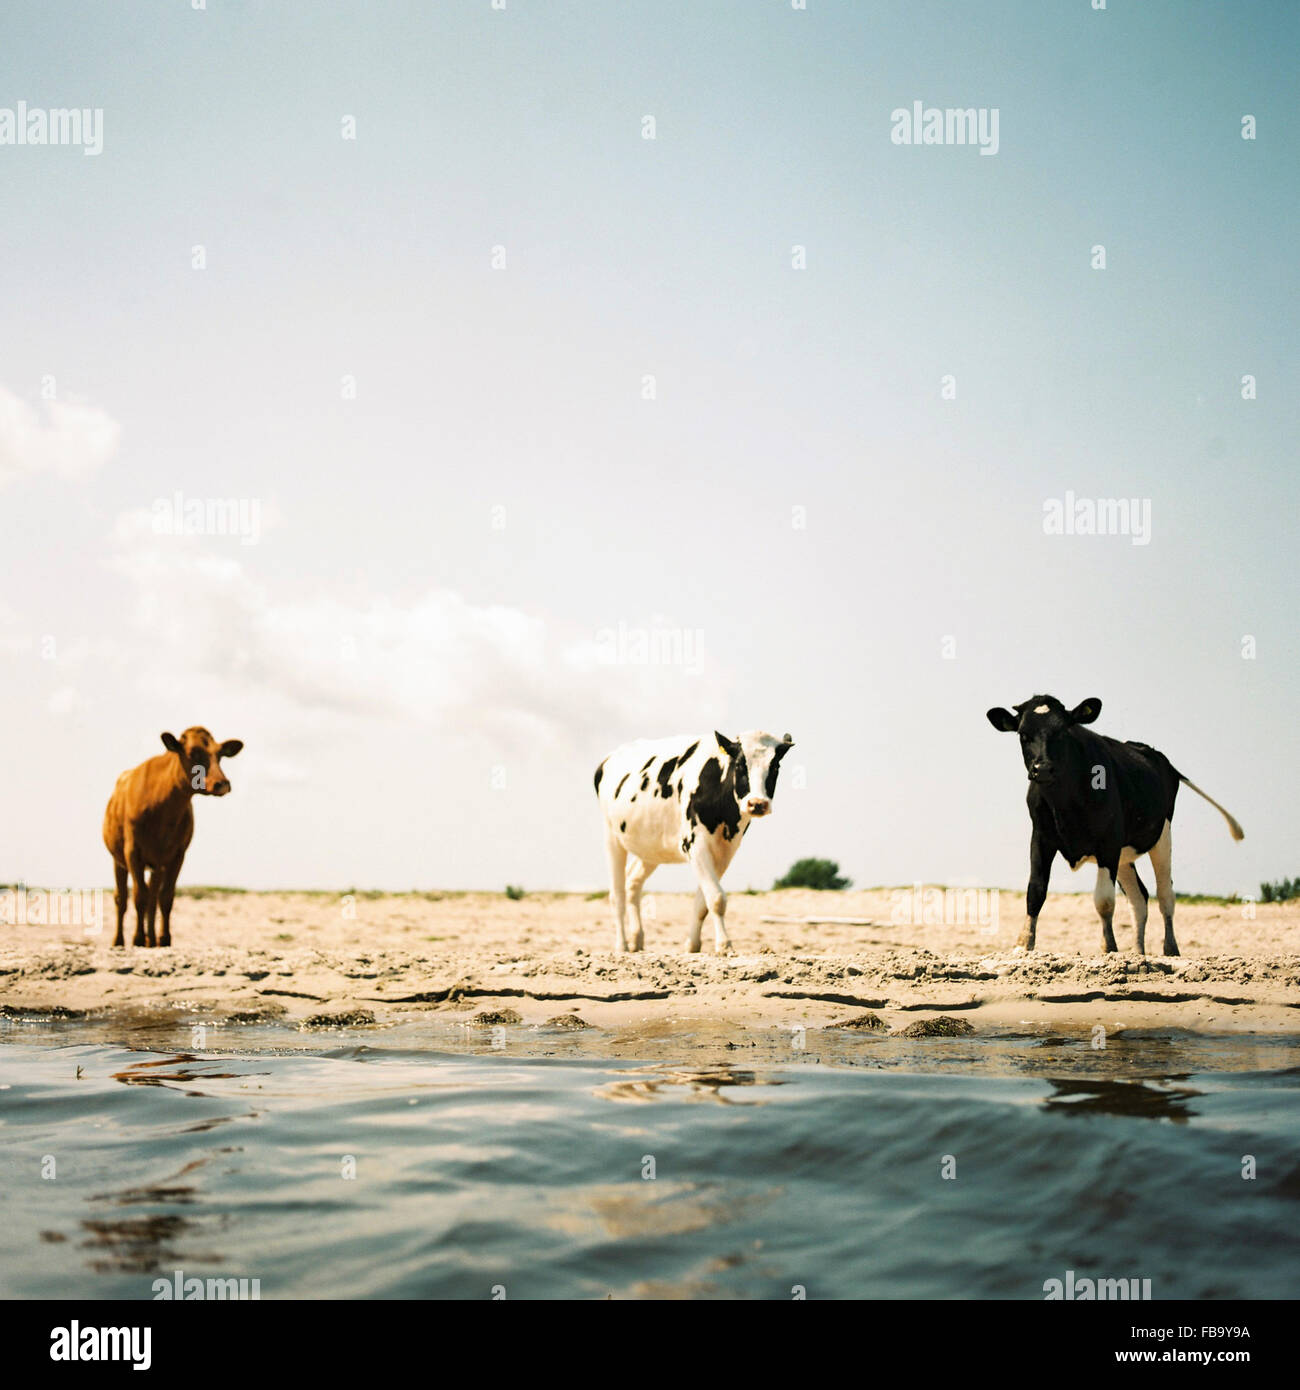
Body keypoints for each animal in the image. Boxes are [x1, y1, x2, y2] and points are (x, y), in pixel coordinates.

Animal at [102, 727, 244, 947]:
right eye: (193, 753)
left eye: (220, 754)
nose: (222, 784)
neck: (164, 805)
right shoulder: (132, 851)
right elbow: (139, 895)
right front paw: (137, 938)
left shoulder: (178, 854)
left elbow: (166, 897)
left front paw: (164, 938)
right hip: (119, 859)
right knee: (122, 897)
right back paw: (119, 940)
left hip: (157, 864)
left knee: (153, 896)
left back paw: (152, 939)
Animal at [594, 730, 795, 954]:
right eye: (740, 765)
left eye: (775, 766)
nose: (757, 803)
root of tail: (610, 757)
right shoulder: (695, 845)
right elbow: (716, 898)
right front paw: (724, 944)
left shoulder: (725, 851)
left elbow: (703, 902)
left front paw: (693, 945)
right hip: (612, 836)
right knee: (617, 894)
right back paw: (622, 945)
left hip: (652, 846)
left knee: (632, 882)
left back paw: (637, 940)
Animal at [986, 695, 1243, 956]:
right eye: (1023, 734)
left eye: (1063, 731)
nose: (1043, 768)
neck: (1065, 803)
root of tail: (1157, 757)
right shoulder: (1041, 837)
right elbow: (1035, 891)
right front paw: (1023, 945)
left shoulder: (1108, 841)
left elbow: (1104, 900)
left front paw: (1108, 947)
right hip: (1124, 856)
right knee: (1139, 897)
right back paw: (1138, 952)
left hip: (1162, 835)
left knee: (1165, 894)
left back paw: (1170, 949)